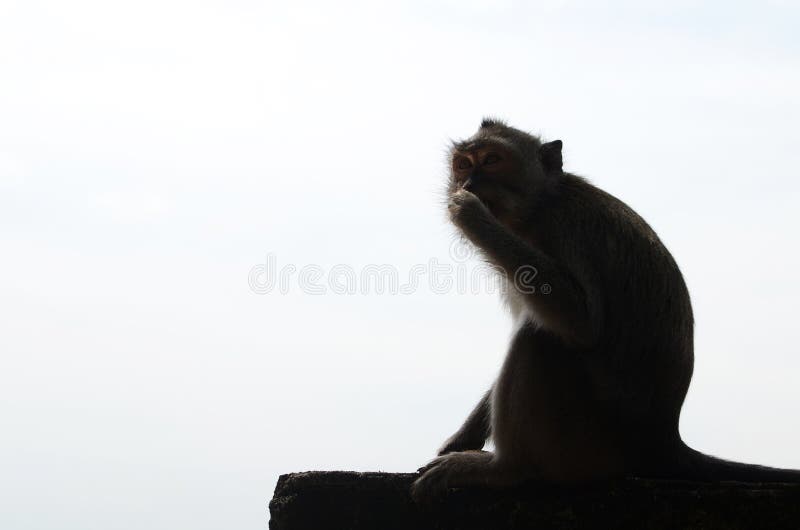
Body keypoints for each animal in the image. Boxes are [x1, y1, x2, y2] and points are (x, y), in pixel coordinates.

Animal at [411, 119, 800, 501]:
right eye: (463, 164)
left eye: (492, 160)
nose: (467, 184)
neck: (538, 207)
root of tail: (663, 441)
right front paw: (462, 438)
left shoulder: (565, 229)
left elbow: (581, 323)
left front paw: (471, 213)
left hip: (587, 446)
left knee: (540, 337)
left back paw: (504, 469)